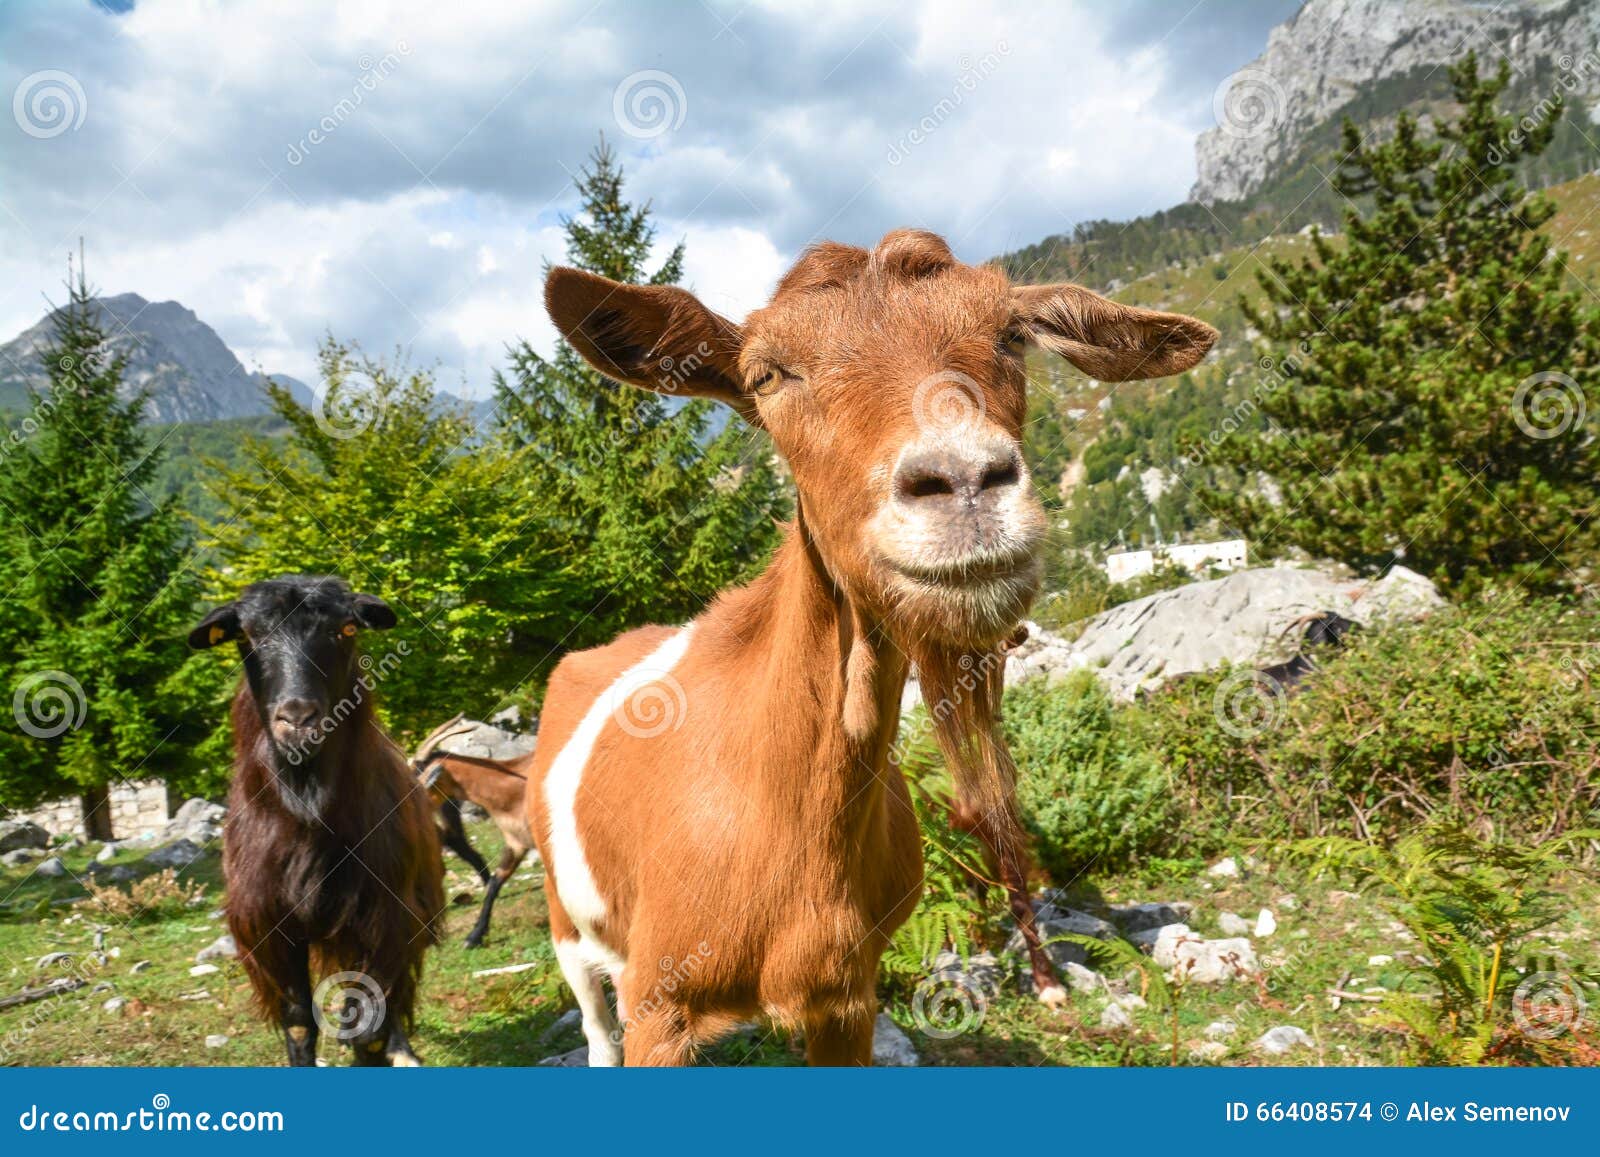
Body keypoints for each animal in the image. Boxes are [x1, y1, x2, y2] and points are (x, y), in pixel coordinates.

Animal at [189, 575, 443, 1067]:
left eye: (346, 629)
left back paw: (403, 1050)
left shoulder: (386, 917)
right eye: (246, 636)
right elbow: (298, 1024)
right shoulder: (270, 926)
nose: (297, 719)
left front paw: (381, 1048)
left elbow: (370, 1028)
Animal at [531, 230, 1216, 1064]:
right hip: (570, 927)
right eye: (767, 373)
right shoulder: (658, 1005)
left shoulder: (846, 995)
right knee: (593, 1021)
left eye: (1011, 335)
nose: (963, 480)